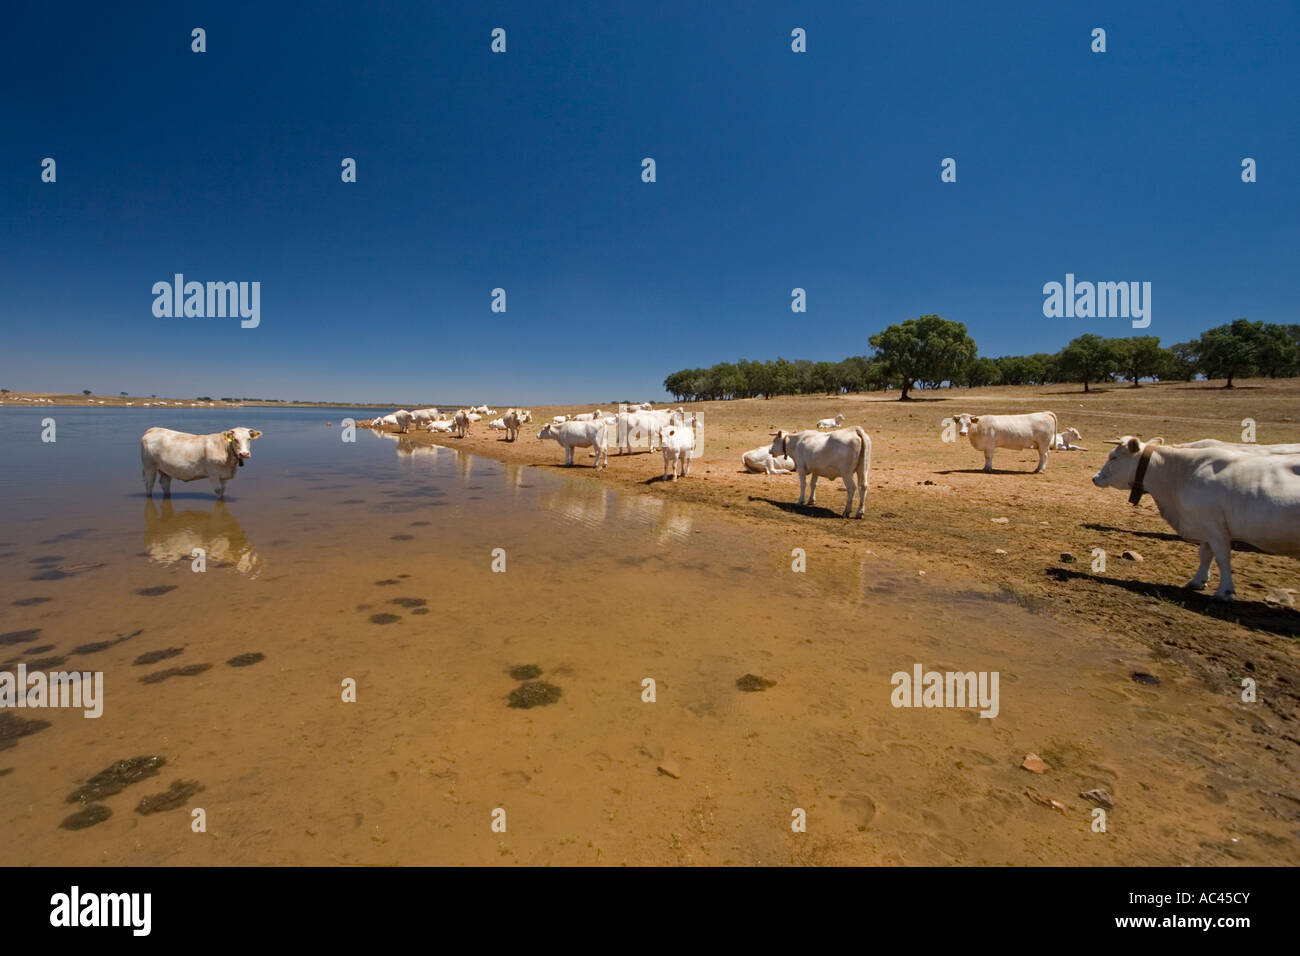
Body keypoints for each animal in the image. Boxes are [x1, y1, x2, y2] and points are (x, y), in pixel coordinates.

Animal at [1092, 436, 1300, 600]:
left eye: (1114, 457)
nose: (1095, 478)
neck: (1180, 474)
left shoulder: (1215, 528)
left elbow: (1222, 558)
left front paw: (1224, 591)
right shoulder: (1204, 526)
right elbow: (1205, 554)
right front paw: (1198, 581)